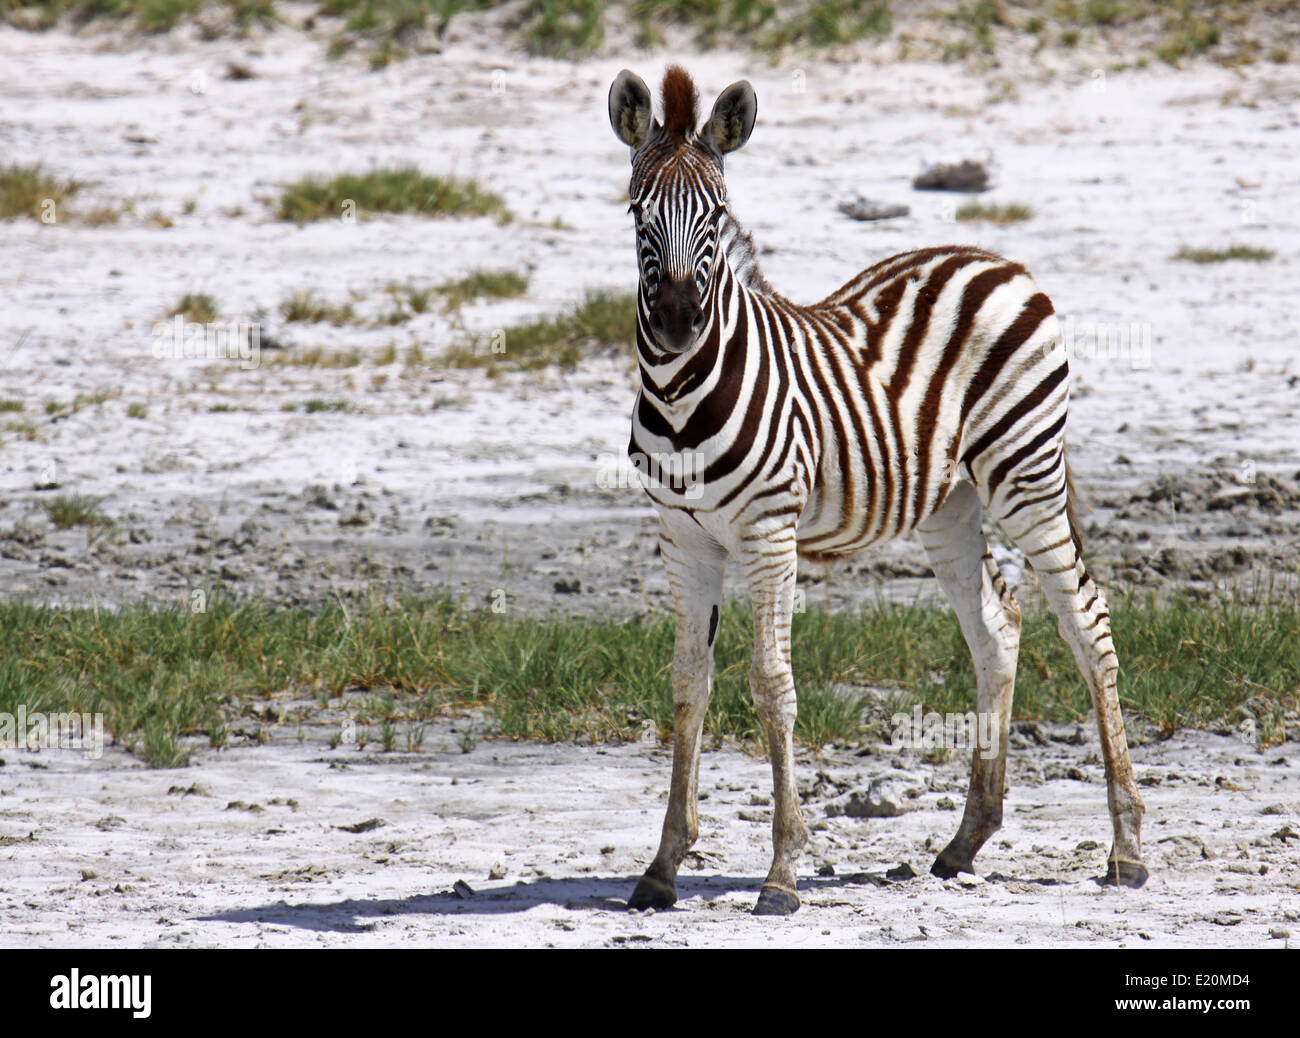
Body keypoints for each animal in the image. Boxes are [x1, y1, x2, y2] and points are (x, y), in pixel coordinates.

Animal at [608, 65, 1147, 916]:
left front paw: (783, 872)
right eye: (638, 212)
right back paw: (965, 842)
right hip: (950, 503)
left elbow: (770, 681)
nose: (676, 320)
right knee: (998, 625)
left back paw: (1126, 849)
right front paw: (662, 866)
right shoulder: (682, 535)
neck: (684, 391)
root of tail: (1000, 260)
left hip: (1025, 470)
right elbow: (689, 681)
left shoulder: (768, 528)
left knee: (1086, 623)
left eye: (716, 215)